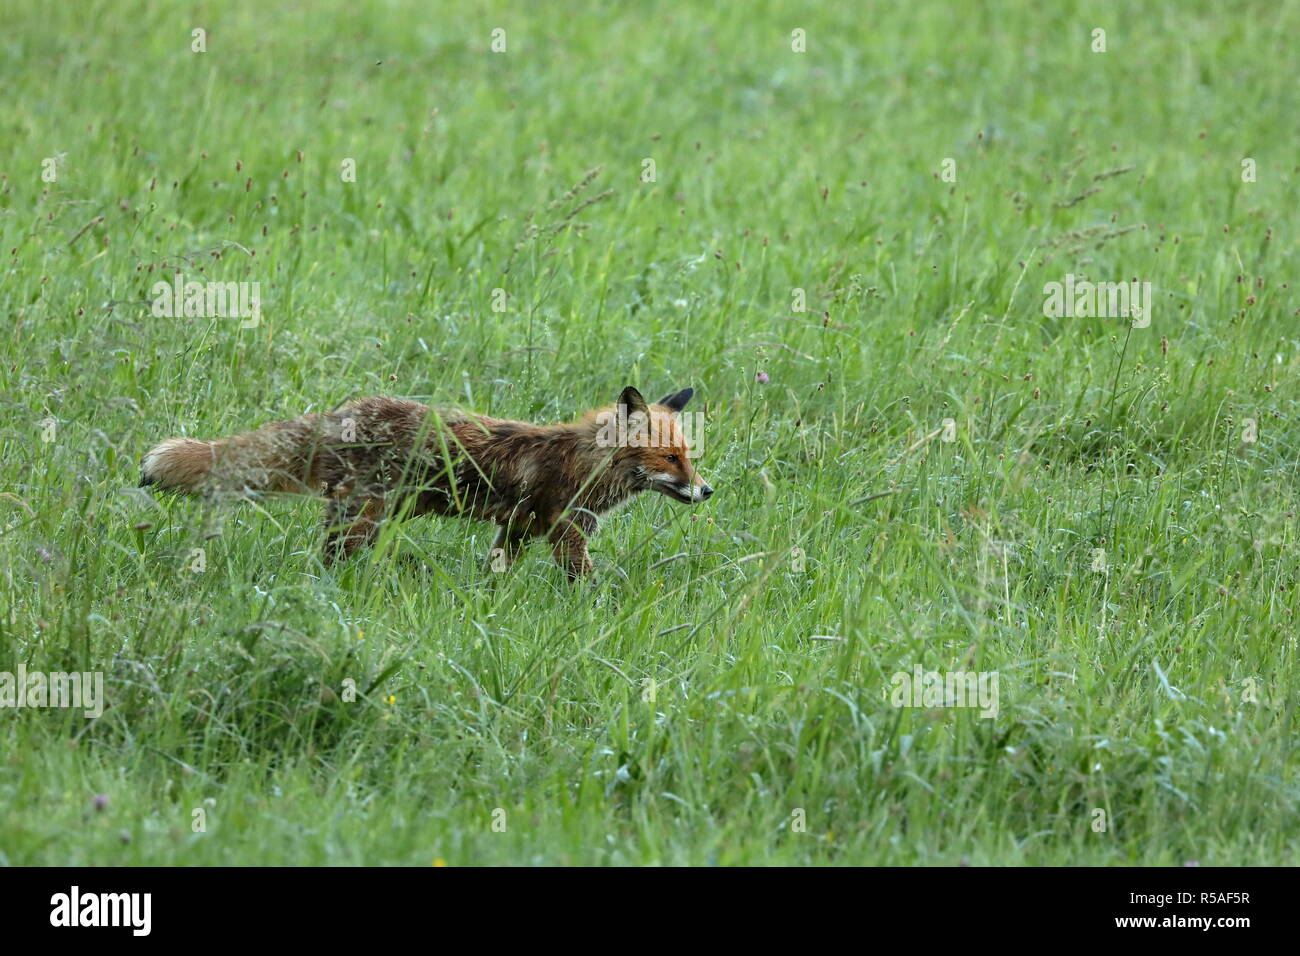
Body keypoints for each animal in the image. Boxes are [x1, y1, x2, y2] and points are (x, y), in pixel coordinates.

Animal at [139, 386, 712, 579]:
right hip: (365, 518)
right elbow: (584, 581)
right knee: (329, 560)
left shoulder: (517, 529)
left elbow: (496, 572)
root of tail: (348, 410)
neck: (587, 462)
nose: (708, 491)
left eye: (689, 457)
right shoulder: (564, 531)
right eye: (671, 458)